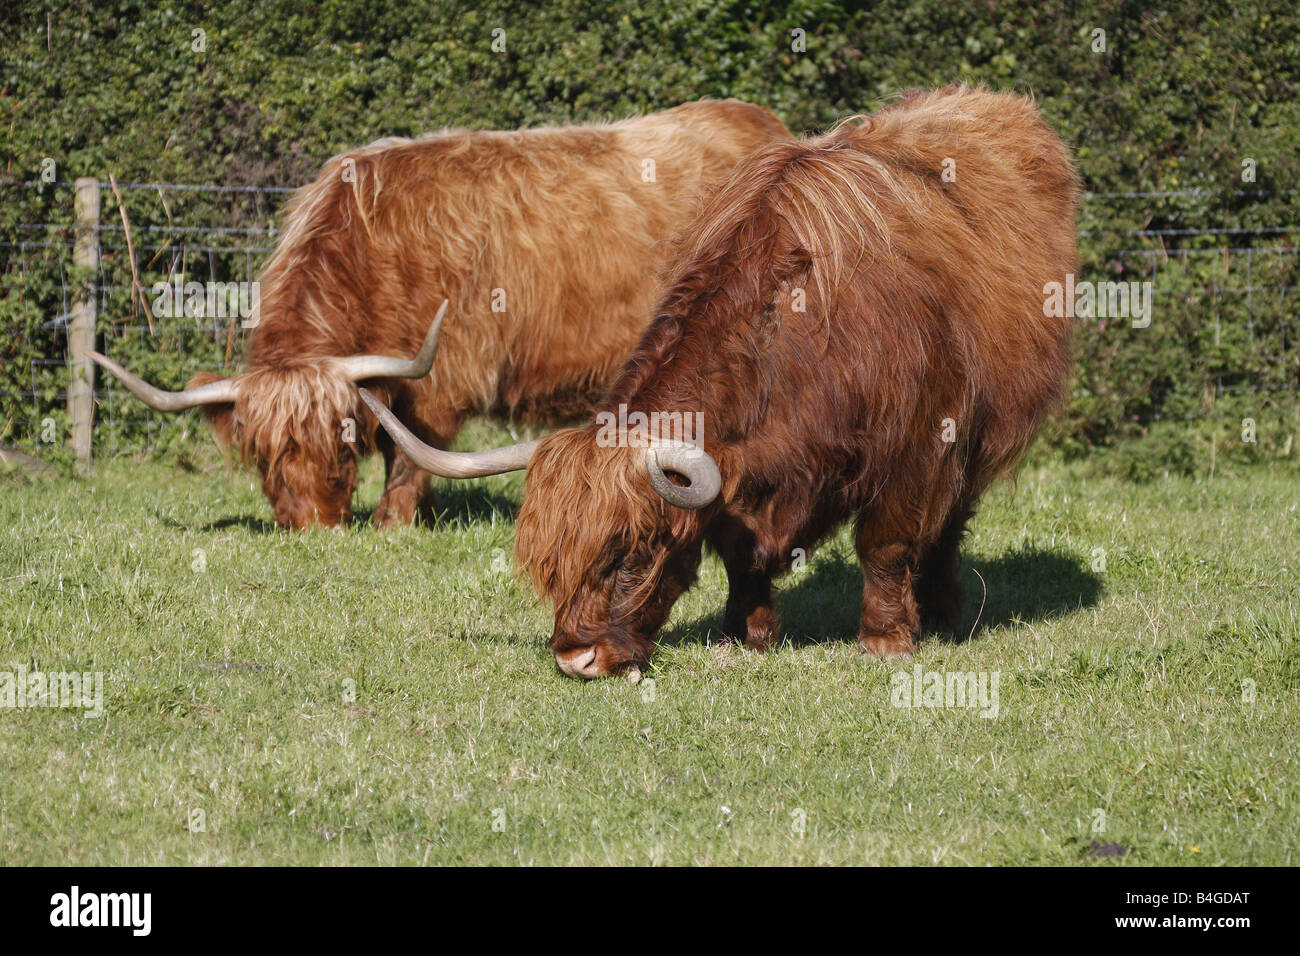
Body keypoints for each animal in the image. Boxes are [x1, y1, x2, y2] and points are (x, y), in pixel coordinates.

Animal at [89, 99, 791, 528]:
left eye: (341, 440)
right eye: (263, 453)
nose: (313, 526)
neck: (373, 246)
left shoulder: (442, 374)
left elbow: (413, 453)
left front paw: (393, 522)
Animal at [360, 86, 1081, 678]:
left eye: (632, 550)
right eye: (552, 566)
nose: (575, 659)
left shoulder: (916, 446)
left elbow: (885, 542)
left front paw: (885, 641)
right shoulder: (741, 473)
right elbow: (741, 552)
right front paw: (748, 633)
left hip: (981, 431)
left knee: (950, 521)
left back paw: (942, 612)